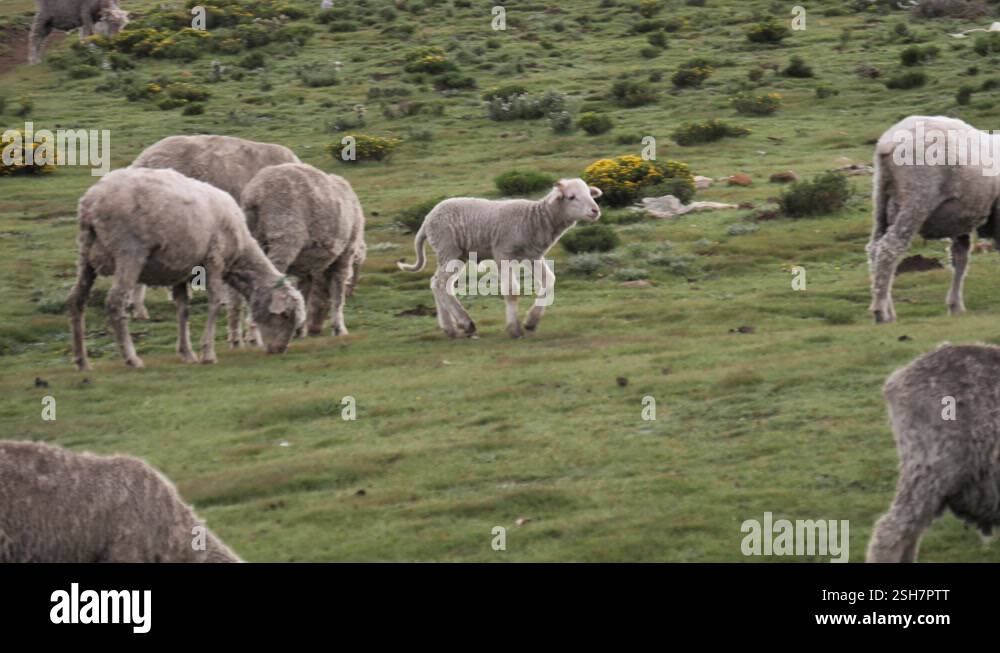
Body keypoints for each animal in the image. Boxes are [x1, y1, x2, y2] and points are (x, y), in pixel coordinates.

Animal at [68, 166, 305, 370]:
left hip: (85, 253)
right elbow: (215, 302)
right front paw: (208, 354)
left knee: (76, 300)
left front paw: (187, 353)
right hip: (129, 251)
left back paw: (82, 362)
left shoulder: (181, 270)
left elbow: (183, 309)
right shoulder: (214, 260)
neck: (240, 252)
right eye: (285, 316)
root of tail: (91, 203)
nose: (279, 350)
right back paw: (131, 358)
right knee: (115, 302)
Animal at [240, 163, 366, 337]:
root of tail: (256, 194)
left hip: (253, 238)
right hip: (284, 237)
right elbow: (338, 294)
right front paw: (339, 329)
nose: (316, 329)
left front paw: (299, 330)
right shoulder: (344, 255)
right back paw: (257, 333)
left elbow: (304, 292)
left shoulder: (306, 266)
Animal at [397, 178, 602, 338]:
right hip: (448, 248)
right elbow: (511, 290)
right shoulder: (503, 253)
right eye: (571, 197)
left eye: (589, 193)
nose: (595, 210)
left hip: (457, 254)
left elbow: (549, 281)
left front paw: (531, 321)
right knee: (439, 284)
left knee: (438, 283)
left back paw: (450, 328)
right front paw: (515, 329)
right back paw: (466, 323)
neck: (535, 220)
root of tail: (427, 219)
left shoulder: (533, 256)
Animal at [867, 115, 1000, 323]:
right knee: (890, 248)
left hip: (881, 198)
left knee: (875, 248)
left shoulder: (959, 219)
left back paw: (887, 309)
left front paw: (955, 306)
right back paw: (881, 312)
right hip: (918, 196)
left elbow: (960, 258)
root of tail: (887, 143)